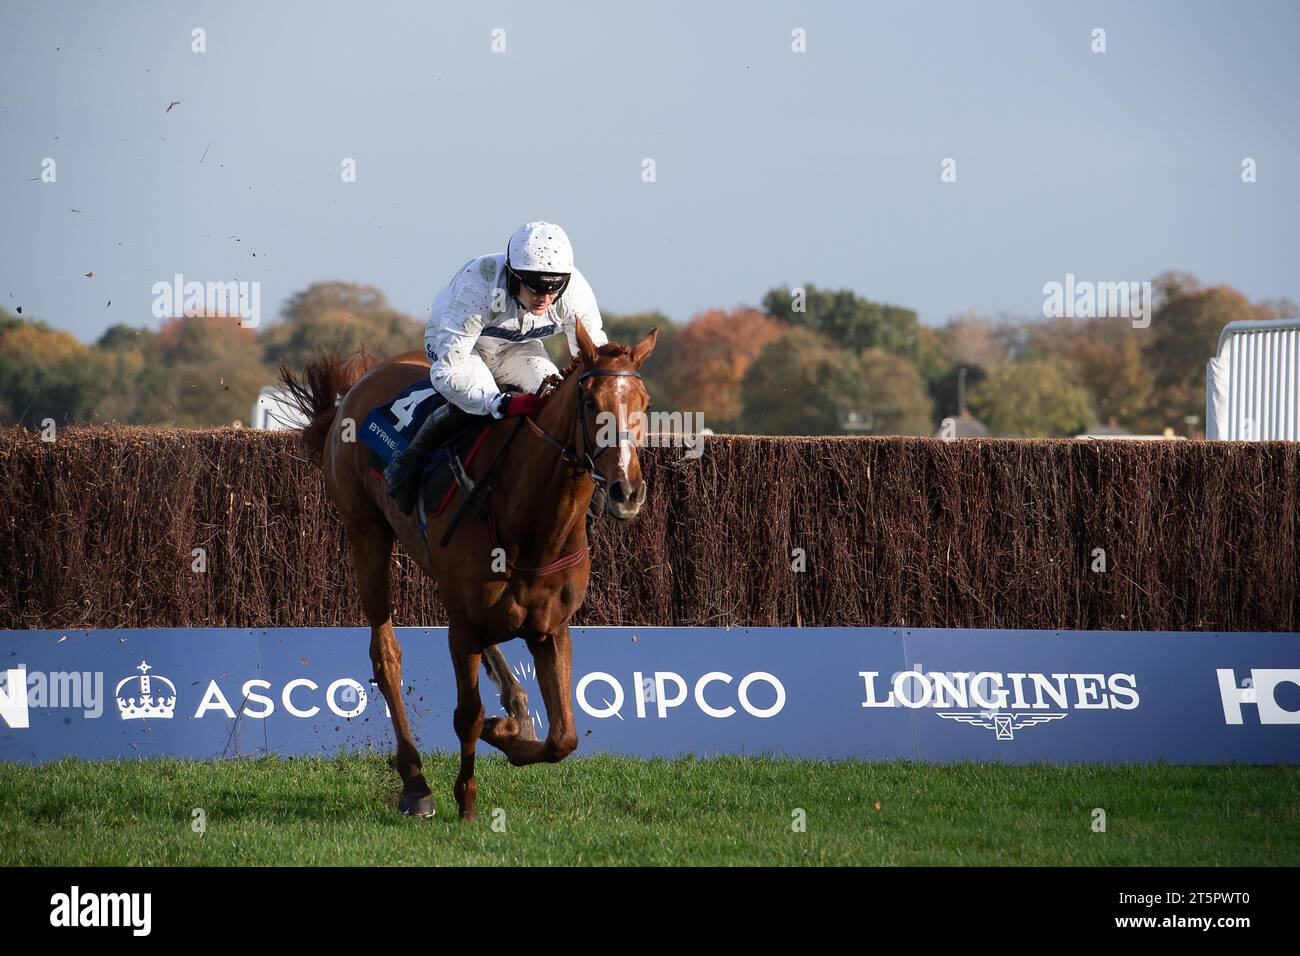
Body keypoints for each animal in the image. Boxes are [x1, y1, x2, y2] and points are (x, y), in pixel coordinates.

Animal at [278, 319, 656, 820]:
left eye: (644, 404)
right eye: (591, 402)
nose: (625, 491)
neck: (533, 527)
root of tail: (356, 388)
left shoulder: (550, 628)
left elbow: (563, 737)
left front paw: (511, 731)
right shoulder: (465, 626)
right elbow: (469, 716)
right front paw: (468, 797)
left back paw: (514, 704)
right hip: (366, 535)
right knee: (386, 655)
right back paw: (415, 782)